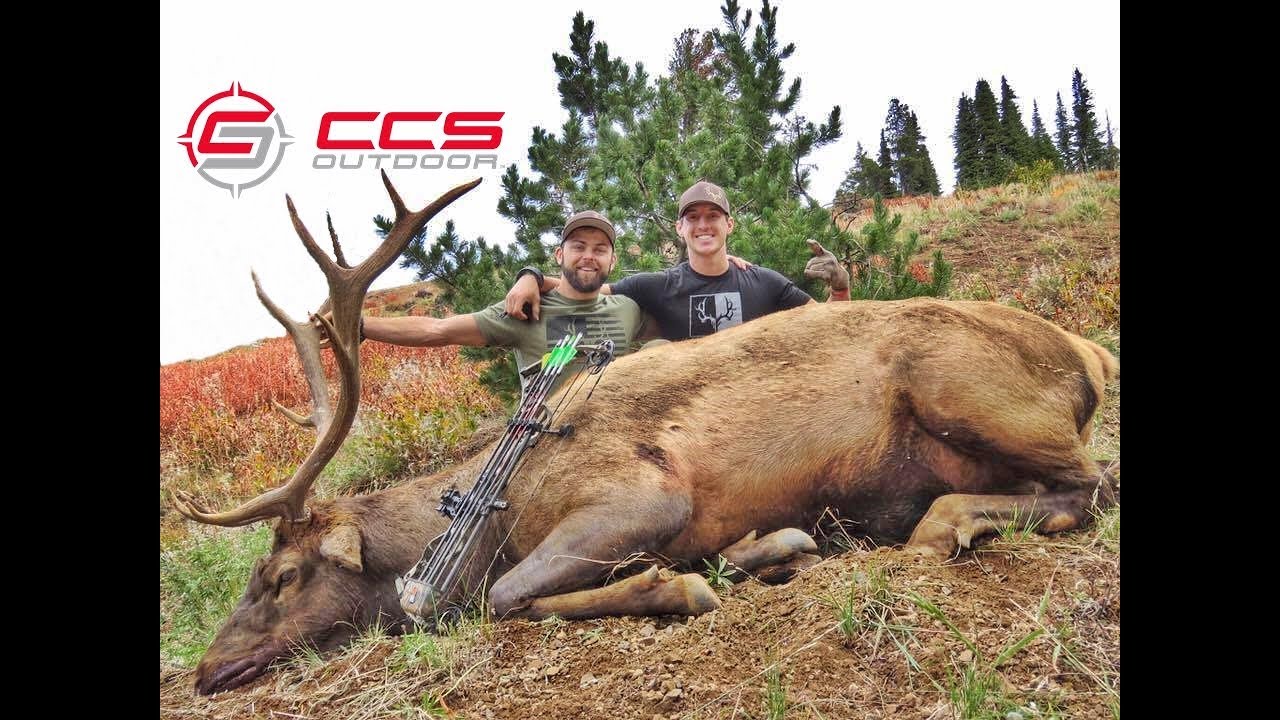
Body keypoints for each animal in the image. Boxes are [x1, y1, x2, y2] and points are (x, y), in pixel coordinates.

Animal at [170, 174, 1119, 696]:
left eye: (281, 576)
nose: (206, 667)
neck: (477, 515)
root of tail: (1090, 353)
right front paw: (766, 549)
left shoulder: (640, 491)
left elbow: (506, 596)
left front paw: (677, 586)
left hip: (967, 389)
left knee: (1085, 486)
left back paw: (940, 522)